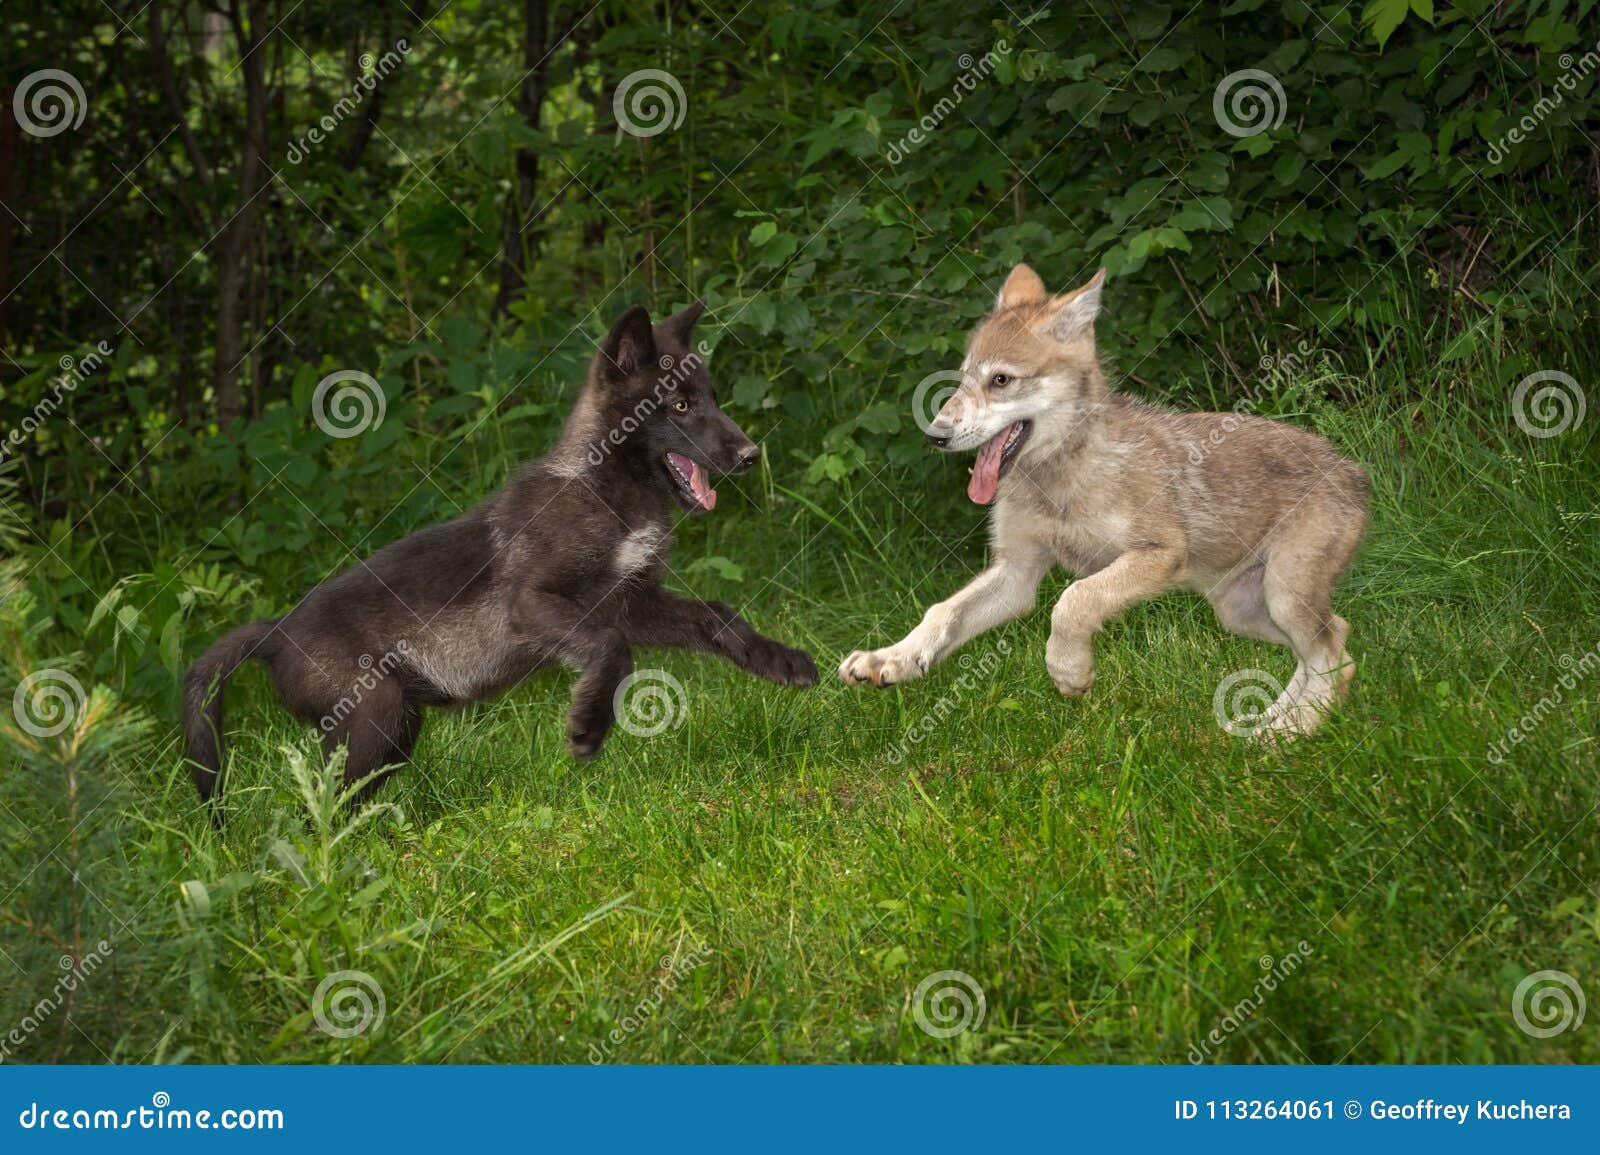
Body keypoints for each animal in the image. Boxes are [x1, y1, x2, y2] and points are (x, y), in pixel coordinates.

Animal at [184, 301, 817, 816]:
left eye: (713, 399)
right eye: (681, 405)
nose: (751, 455)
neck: (603, 488)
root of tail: (277, 629)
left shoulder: (632, 601)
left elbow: (719, 616)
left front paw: (779, 661)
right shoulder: (536, 603)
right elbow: (612, 650)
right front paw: (589, 726)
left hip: (395, 729)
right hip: (377, 716)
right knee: (317, 807)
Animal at [839, 265, 1368, 738]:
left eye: (1001, 381)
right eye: (964, 380)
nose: (935, 435)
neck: (1059, 479)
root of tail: (1350, 469)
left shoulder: (1156, 555)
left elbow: (1072, 601)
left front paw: (1068, 670)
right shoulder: (1017, 573)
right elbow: (942, 612)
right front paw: (892, 658)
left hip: (1282, 596)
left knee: (1334, 656)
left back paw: (1290, 734)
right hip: (1241, 612)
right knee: (1333, 640)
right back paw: (1268, 726)